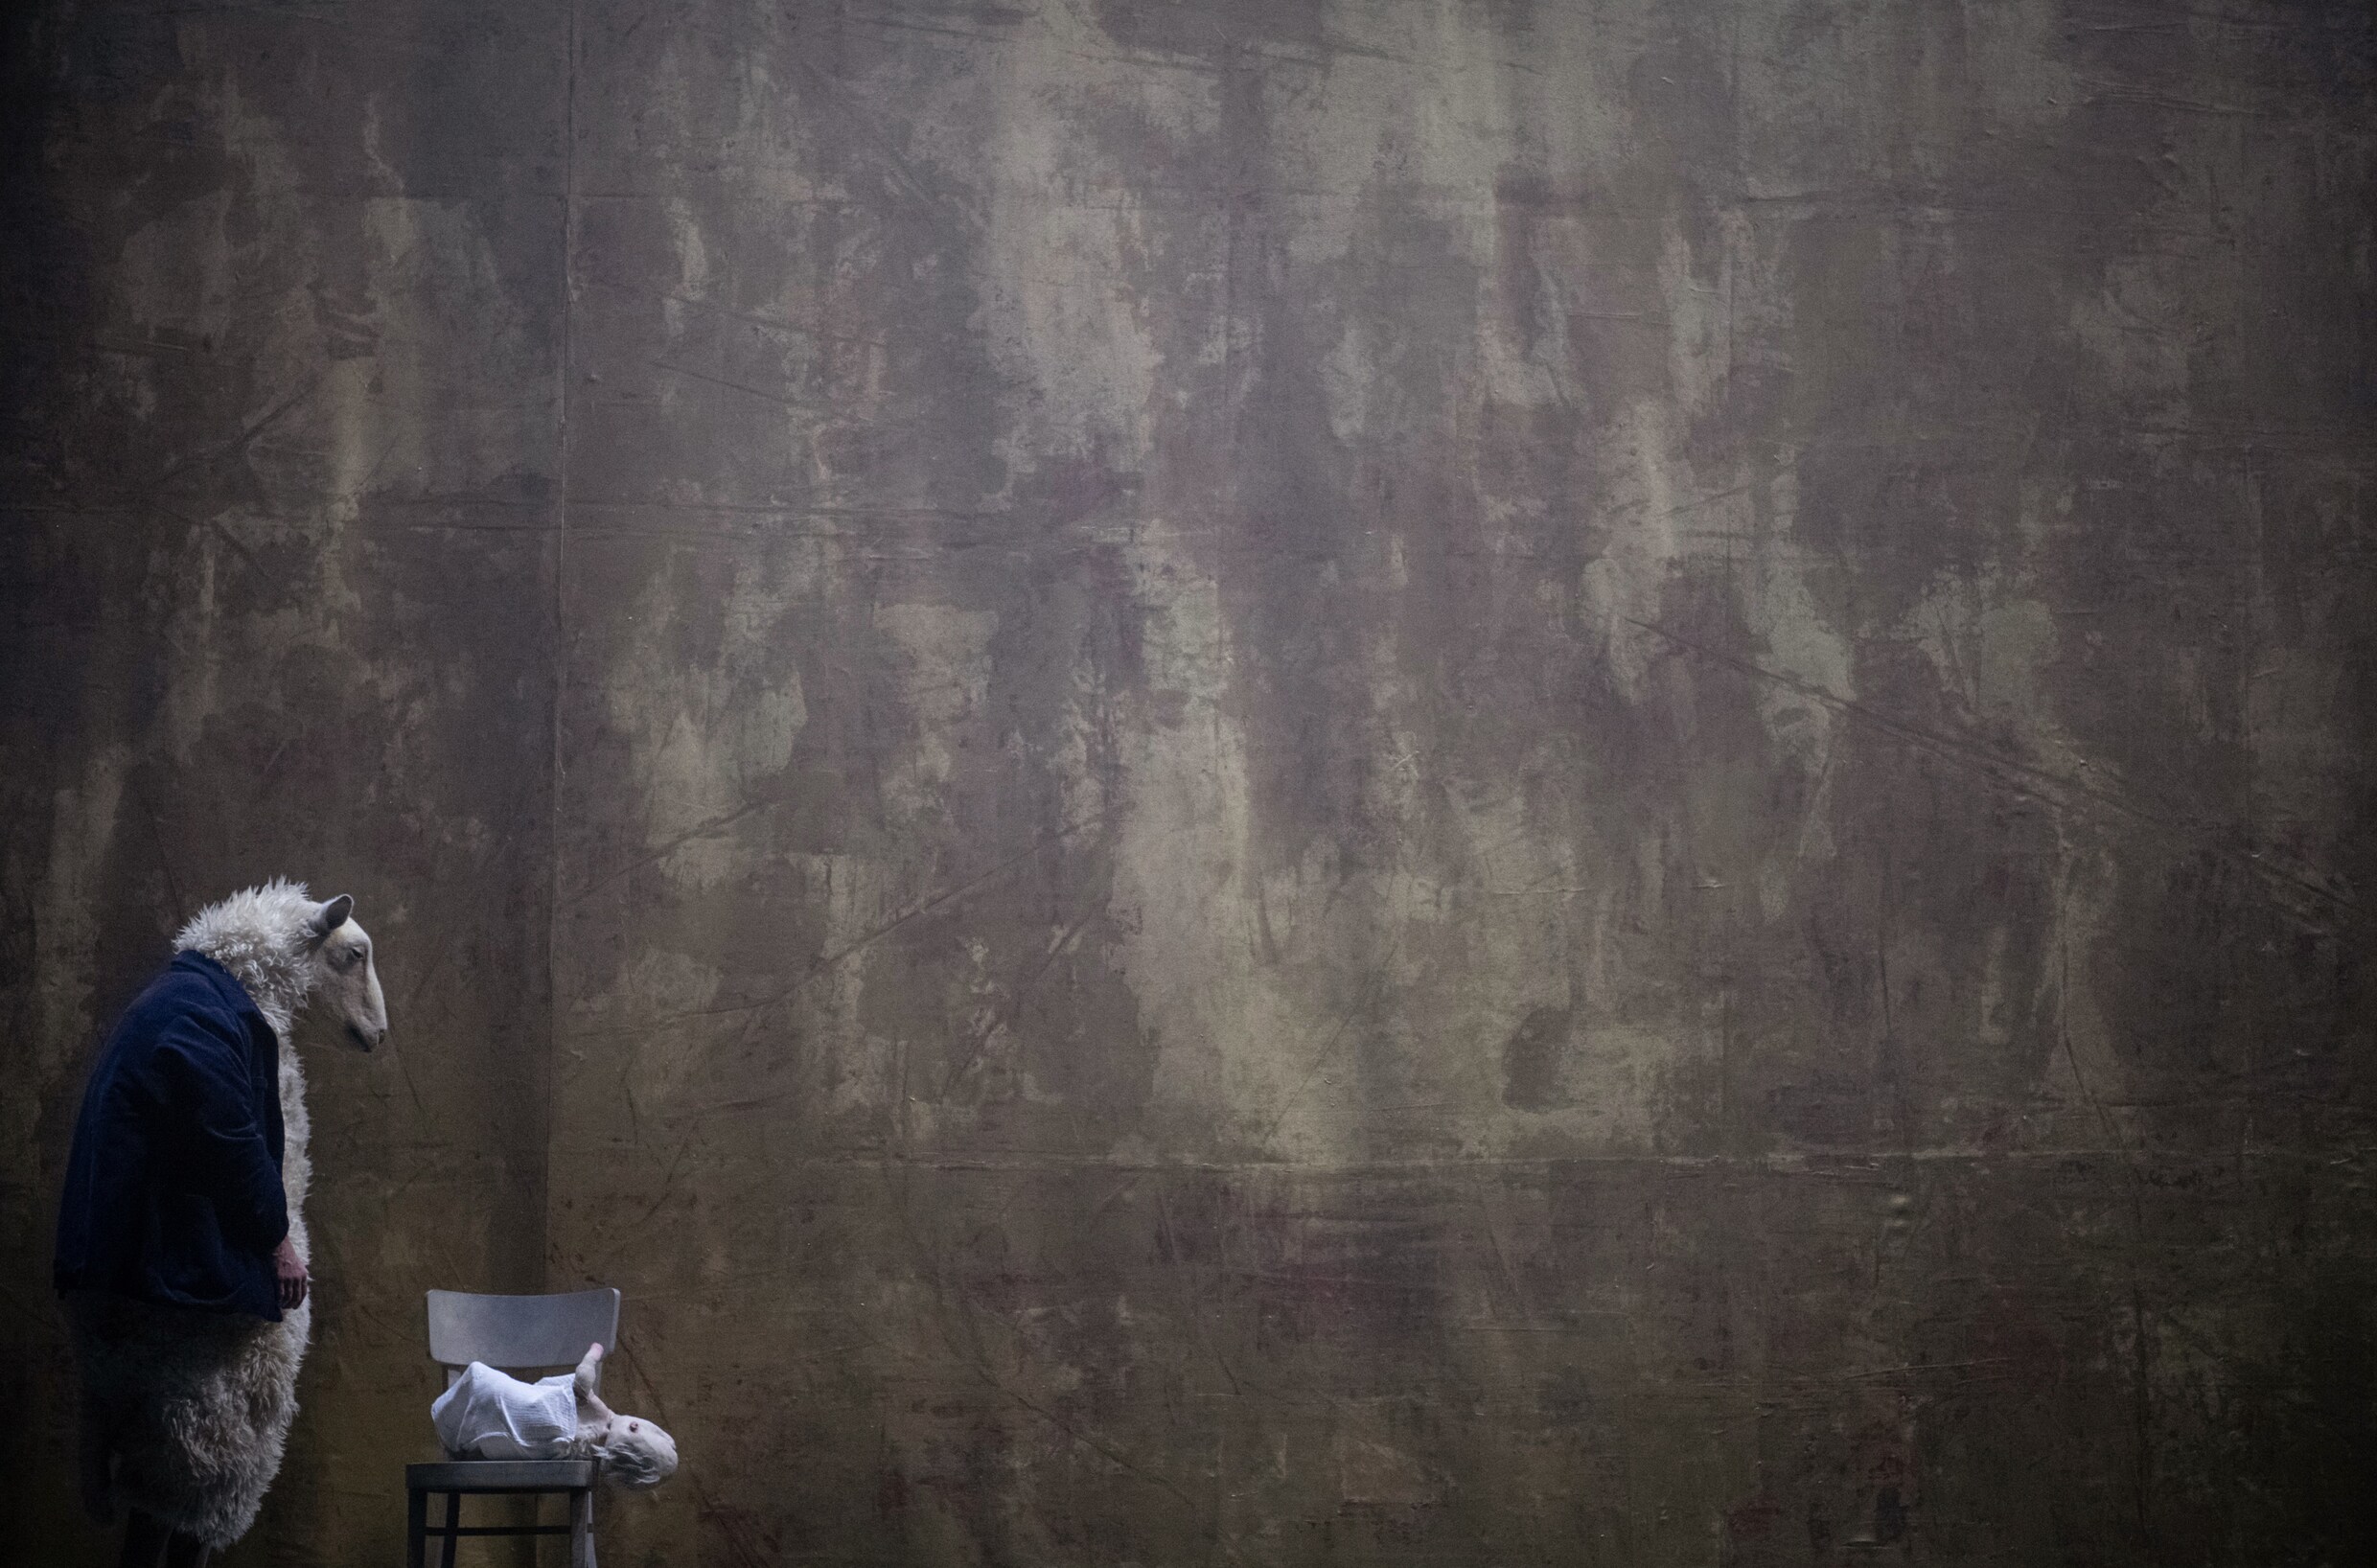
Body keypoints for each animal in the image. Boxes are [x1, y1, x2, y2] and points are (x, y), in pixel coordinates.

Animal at [60, 880, 386, 1557]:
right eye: (354, 955)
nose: (380, 1034)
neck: (245, 974)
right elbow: (240, 1154)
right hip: (217, 1393)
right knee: (191, 1499)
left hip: (124, 1387)